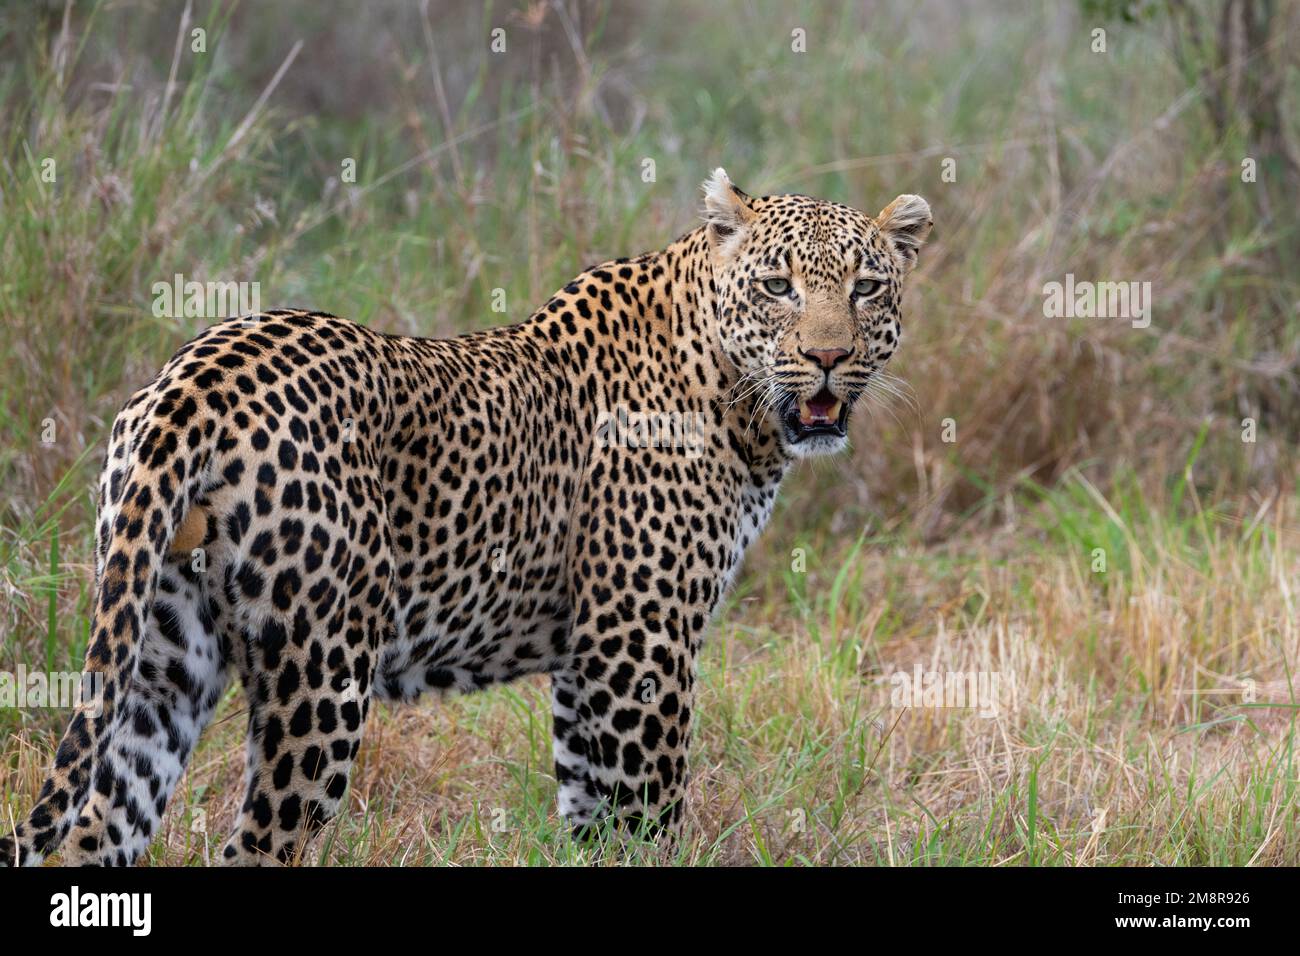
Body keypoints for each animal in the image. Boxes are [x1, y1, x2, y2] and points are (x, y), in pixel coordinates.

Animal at [1, 169, 931, 865]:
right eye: (778, 286)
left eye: (865, 289)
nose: (827, 357)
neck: (739, 405)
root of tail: (196, 374)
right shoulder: (639, 650)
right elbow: (654, 820)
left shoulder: (585, 665)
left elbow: (593, 820)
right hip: (320, 680)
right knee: (256, 846)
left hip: (159, 657)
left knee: (101, 825)